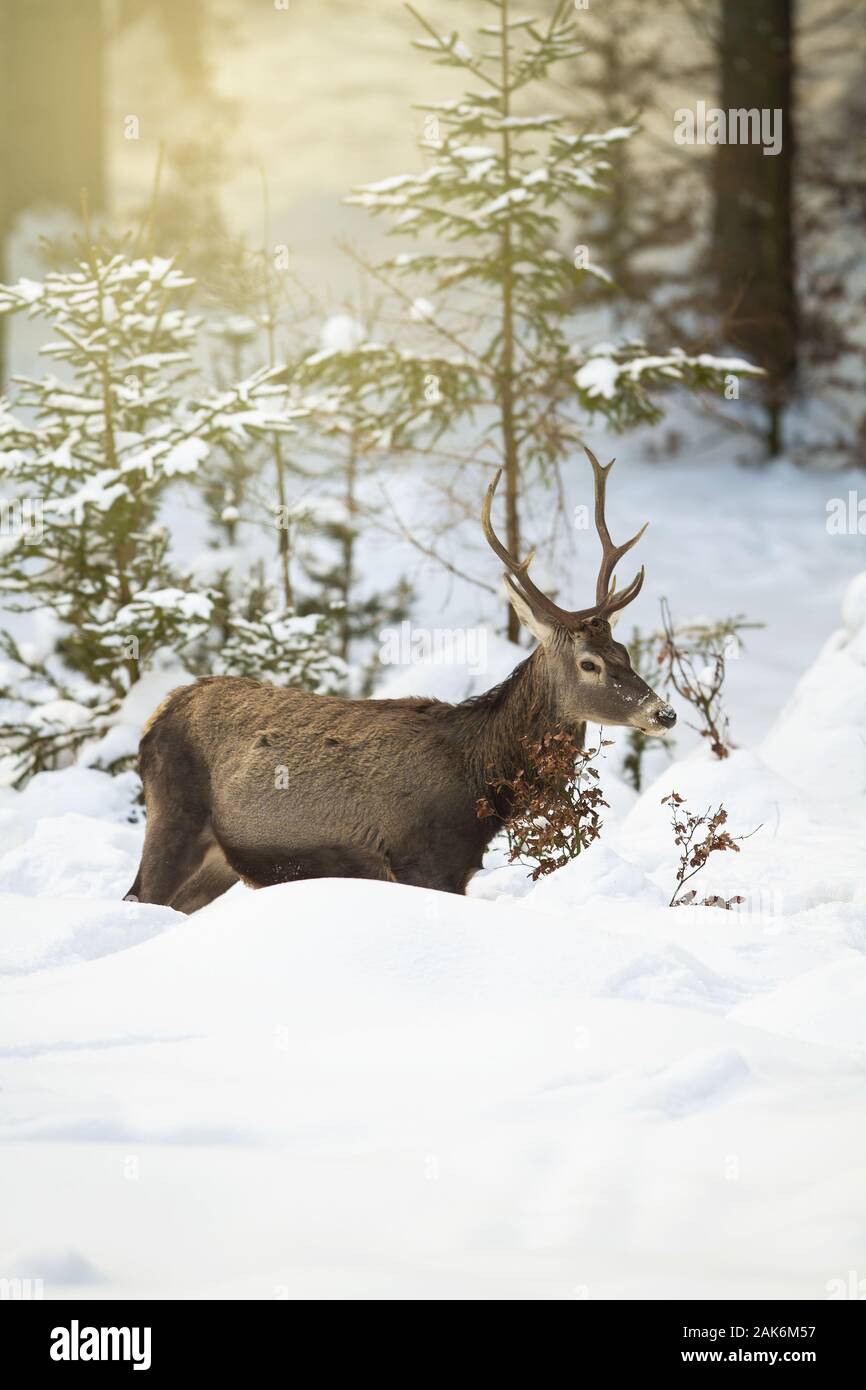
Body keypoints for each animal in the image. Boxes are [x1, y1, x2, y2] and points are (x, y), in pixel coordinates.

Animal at [126, 448, 676, 912]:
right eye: (589, 663)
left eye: (624, 651)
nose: (664, 712)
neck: (478, 779)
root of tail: (154, 719)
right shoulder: (424, 861)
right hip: (173, 817)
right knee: (137, 894)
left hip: (218, 860)